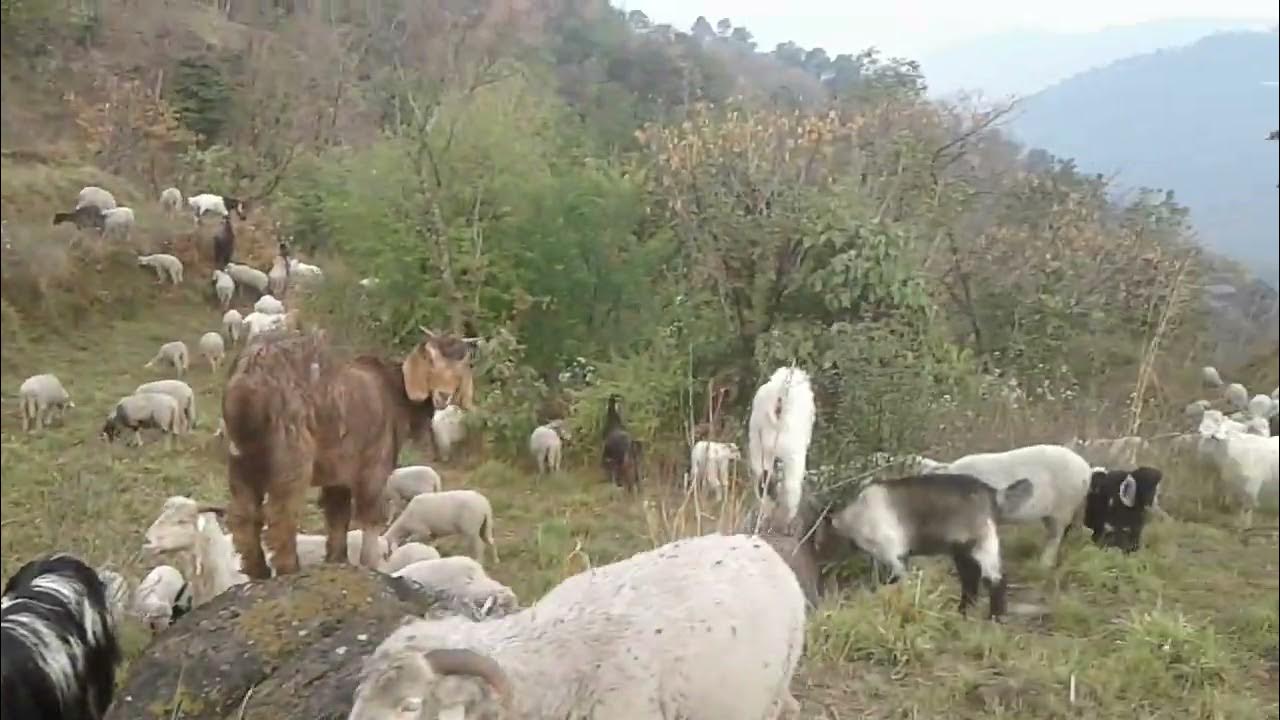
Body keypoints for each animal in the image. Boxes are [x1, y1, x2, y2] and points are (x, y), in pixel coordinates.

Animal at [222, 328, 475, 578]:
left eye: (460, 364)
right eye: (430, 358)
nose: (443, 395)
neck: (393, 391)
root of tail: (250, 376)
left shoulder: (338, 471)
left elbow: (338, 515)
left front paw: (337, 558)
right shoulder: (375, 463)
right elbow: (371, 515)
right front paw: (369, 562)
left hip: (241, 458)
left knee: (244, 513)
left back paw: (257, 570)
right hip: (291, 457)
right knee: (281, 515)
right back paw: (288, 568)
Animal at [828, 473, 1033, 618]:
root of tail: (992, 491)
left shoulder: (891, 553)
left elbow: (897, 577)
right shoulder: (885, 556)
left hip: (981, 544)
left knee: (996, 578)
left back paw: (994, 616)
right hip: (962, 549)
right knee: (970, 578)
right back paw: (963, 611)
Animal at [932, 444, 1091, 567]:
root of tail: (1086, 469)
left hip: (1063, 506)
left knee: (1056, 536)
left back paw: (1044, 565)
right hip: (1069, 507)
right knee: (1074, 527)